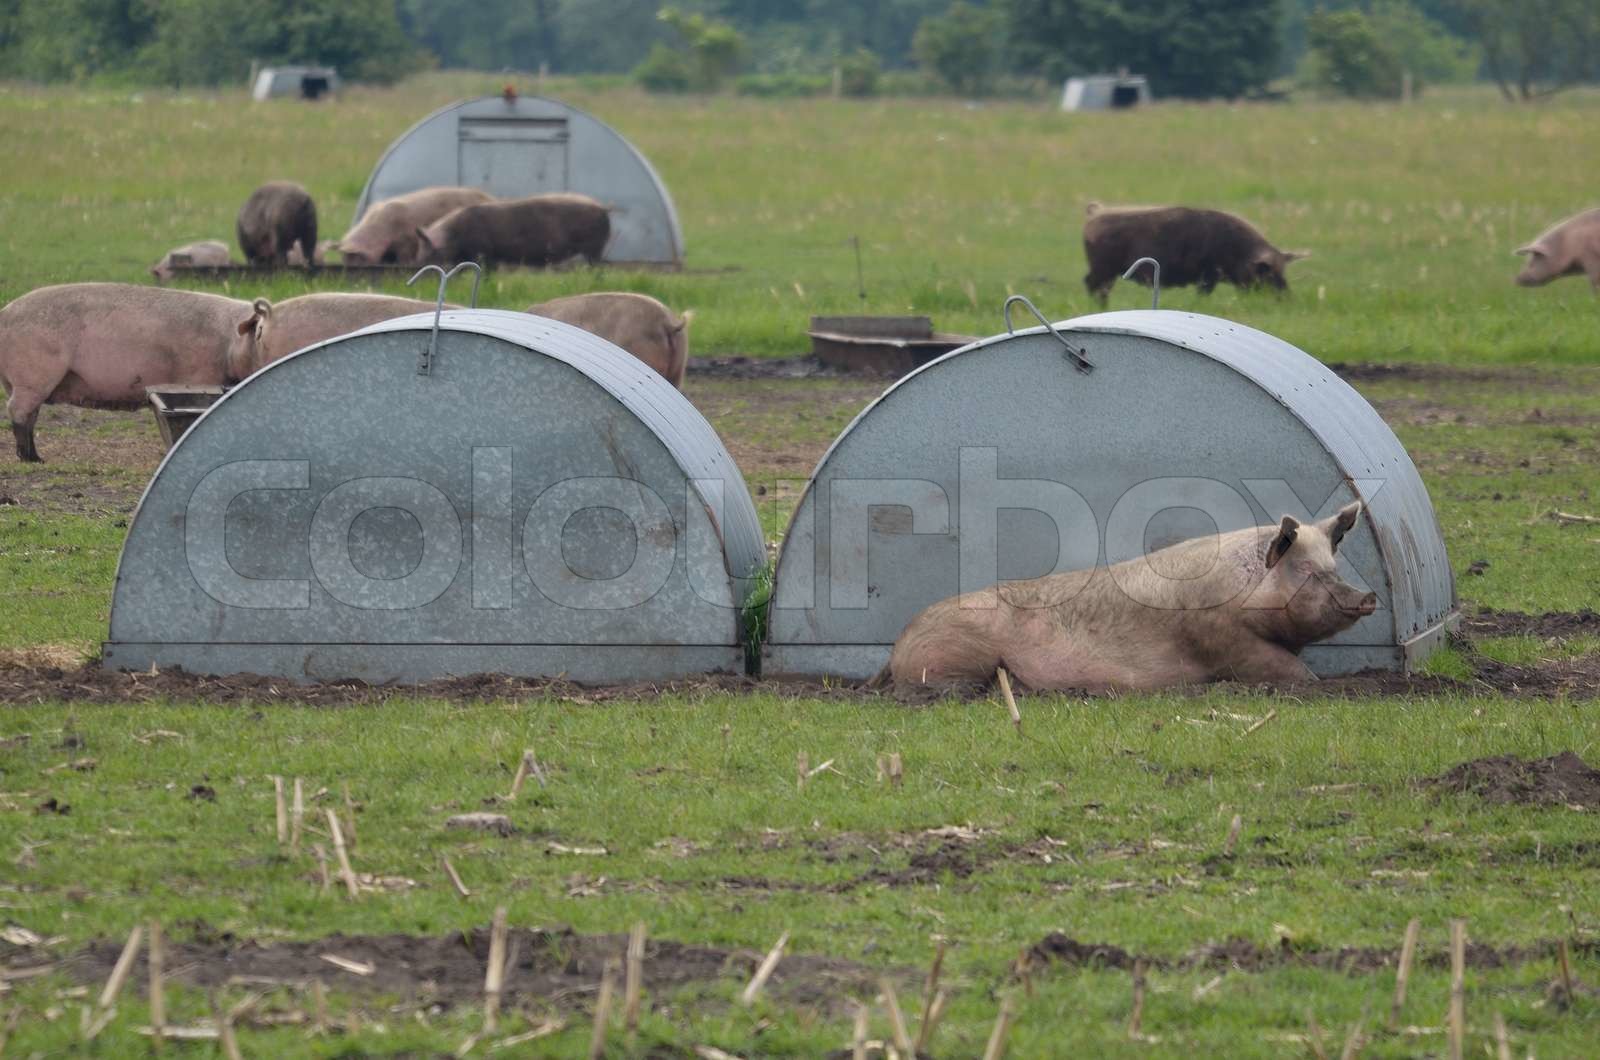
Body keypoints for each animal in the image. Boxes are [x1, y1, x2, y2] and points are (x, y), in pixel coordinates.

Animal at [0, 283, 251, 462]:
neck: (228, 344)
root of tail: (5, 313)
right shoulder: (198, 376)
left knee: (31, 414)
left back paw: (36, 457)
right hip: (33, 375)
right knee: (18, 411)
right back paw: (31, 460)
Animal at [337, 186, 495, 265]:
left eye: (357, 258)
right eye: (344, 259)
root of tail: (491, 198)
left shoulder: (406, 241)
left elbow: (404, 258)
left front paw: (407, 263)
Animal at [416, 193, 610, 269]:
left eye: (429, 253)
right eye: (420, 252)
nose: (416, 266)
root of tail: (603, 208)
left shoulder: (482, 251)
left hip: (594, 247)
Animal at [878, 502, 1375, 695]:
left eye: (1334, 566)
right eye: (1308, 573)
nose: (1368, 595)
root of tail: (897, 646)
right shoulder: (1223, 640)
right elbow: (1292, 672)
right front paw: (1317, 683)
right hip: (959, 653)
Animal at [1082, 203, 1309, 304]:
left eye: (1284, 272)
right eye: (1268, 274)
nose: (1288, 299)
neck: (1239, 251)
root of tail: (1094, 216)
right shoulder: (1208, 273)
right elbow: (1203, 292)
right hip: (1103, 268)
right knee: (1091, 284)